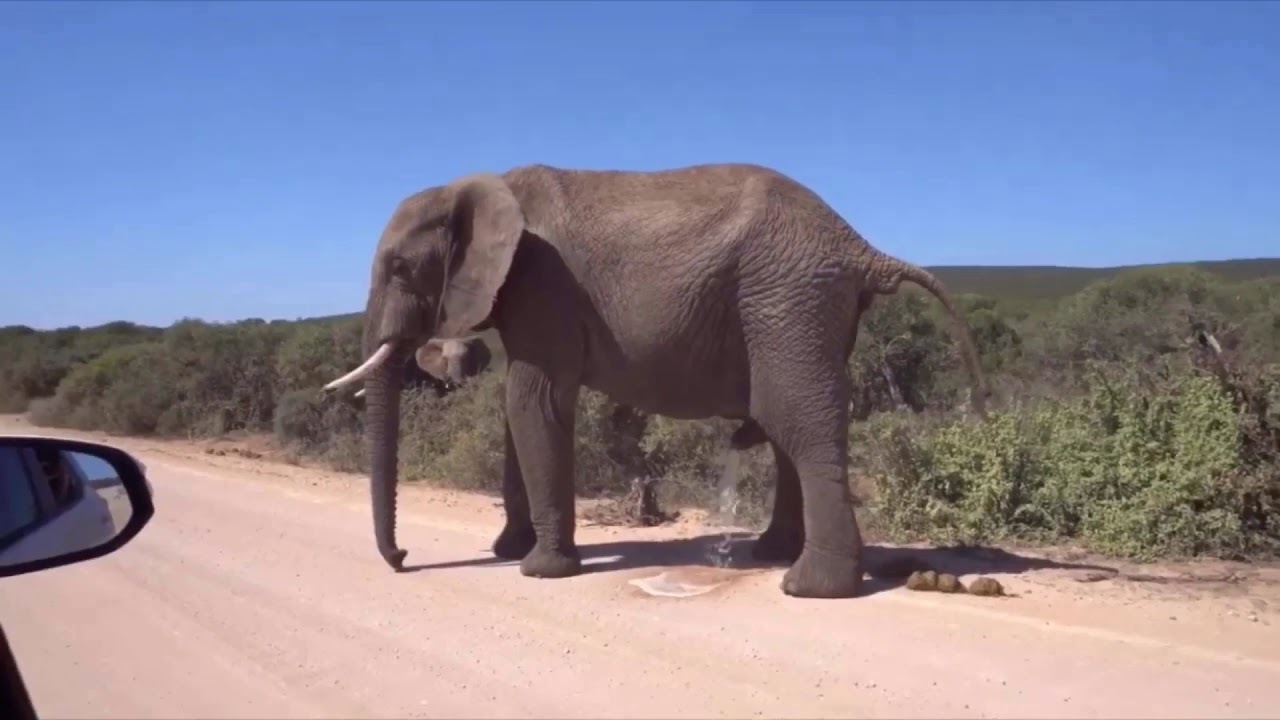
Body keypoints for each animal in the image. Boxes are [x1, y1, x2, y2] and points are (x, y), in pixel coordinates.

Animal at [322, 162, 990, 599]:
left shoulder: (543, 283)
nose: (403, 558)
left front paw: (539, 571)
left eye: (401, 268)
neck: (475, 185)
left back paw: (809, 587)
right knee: (788, 427)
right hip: (798, 304)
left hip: (789, 295)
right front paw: (506, 553)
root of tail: (859, 246)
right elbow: (520, 412)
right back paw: (771, 554)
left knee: (797, 420)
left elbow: (535, 401)